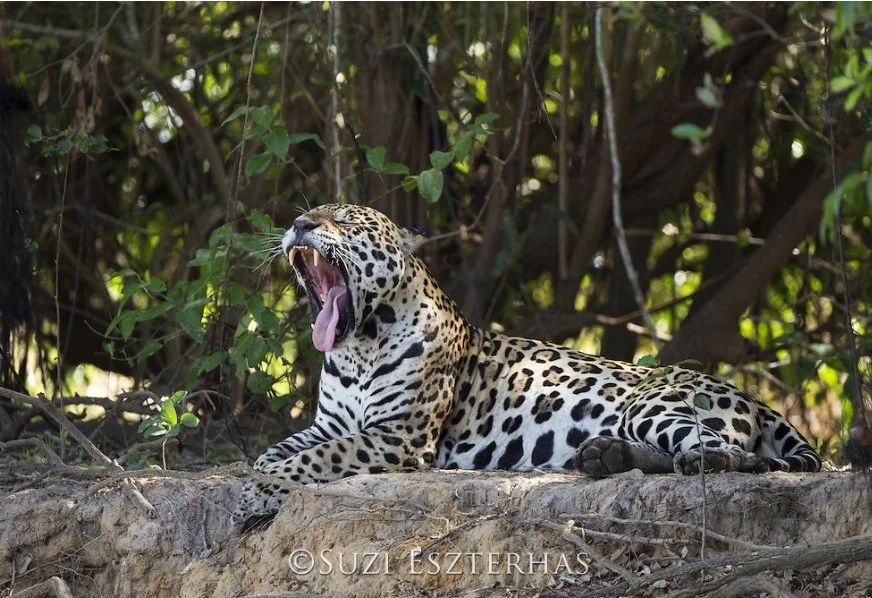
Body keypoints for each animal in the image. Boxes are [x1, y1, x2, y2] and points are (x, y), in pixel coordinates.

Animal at [232, 203, 821, 526]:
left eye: (346, 220)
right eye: (310, 214)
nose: (298, 224)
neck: (358, 344)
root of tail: (755, 399)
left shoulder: (398, 435)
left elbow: (315, 460)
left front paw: (258, 492)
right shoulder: (329, 423)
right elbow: (274, 452)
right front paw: (258, 480)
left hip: (652, 403)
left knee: (725, 456)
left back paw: (678, 459)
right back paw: (603, 457)